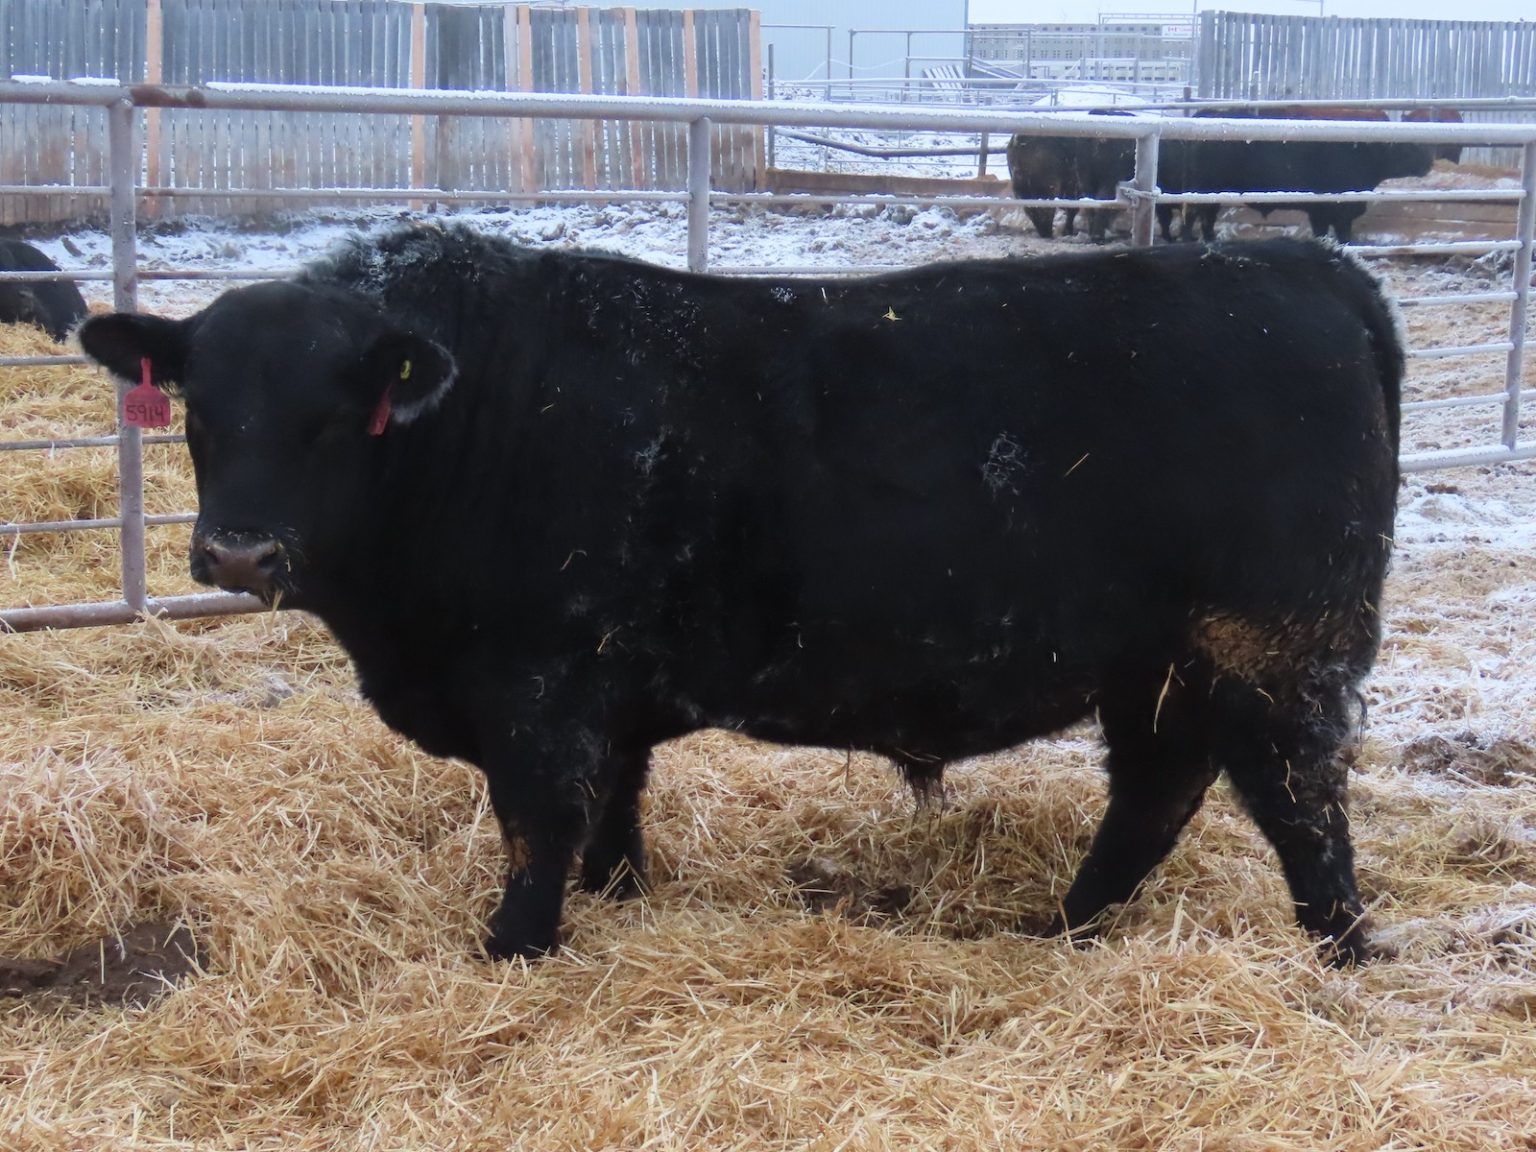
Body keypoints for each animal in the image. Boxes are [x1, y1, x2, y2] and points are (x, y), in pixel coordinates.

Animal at [78, 225, 1403, 966]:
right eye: (198, 409)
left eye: (335, 416)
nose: (238, 555)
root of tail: (1300, 262)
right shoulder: (603, 692)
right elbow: (610, 813)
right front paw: (614, 899)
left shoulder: (536, 685)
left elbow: (538, 823)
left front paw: (513, 948)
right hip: (1158, 663)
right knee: (1158, 793)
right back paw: (1067, 928)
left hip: (1273, 652)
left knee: (1298, 803)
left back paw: (1341, 950)